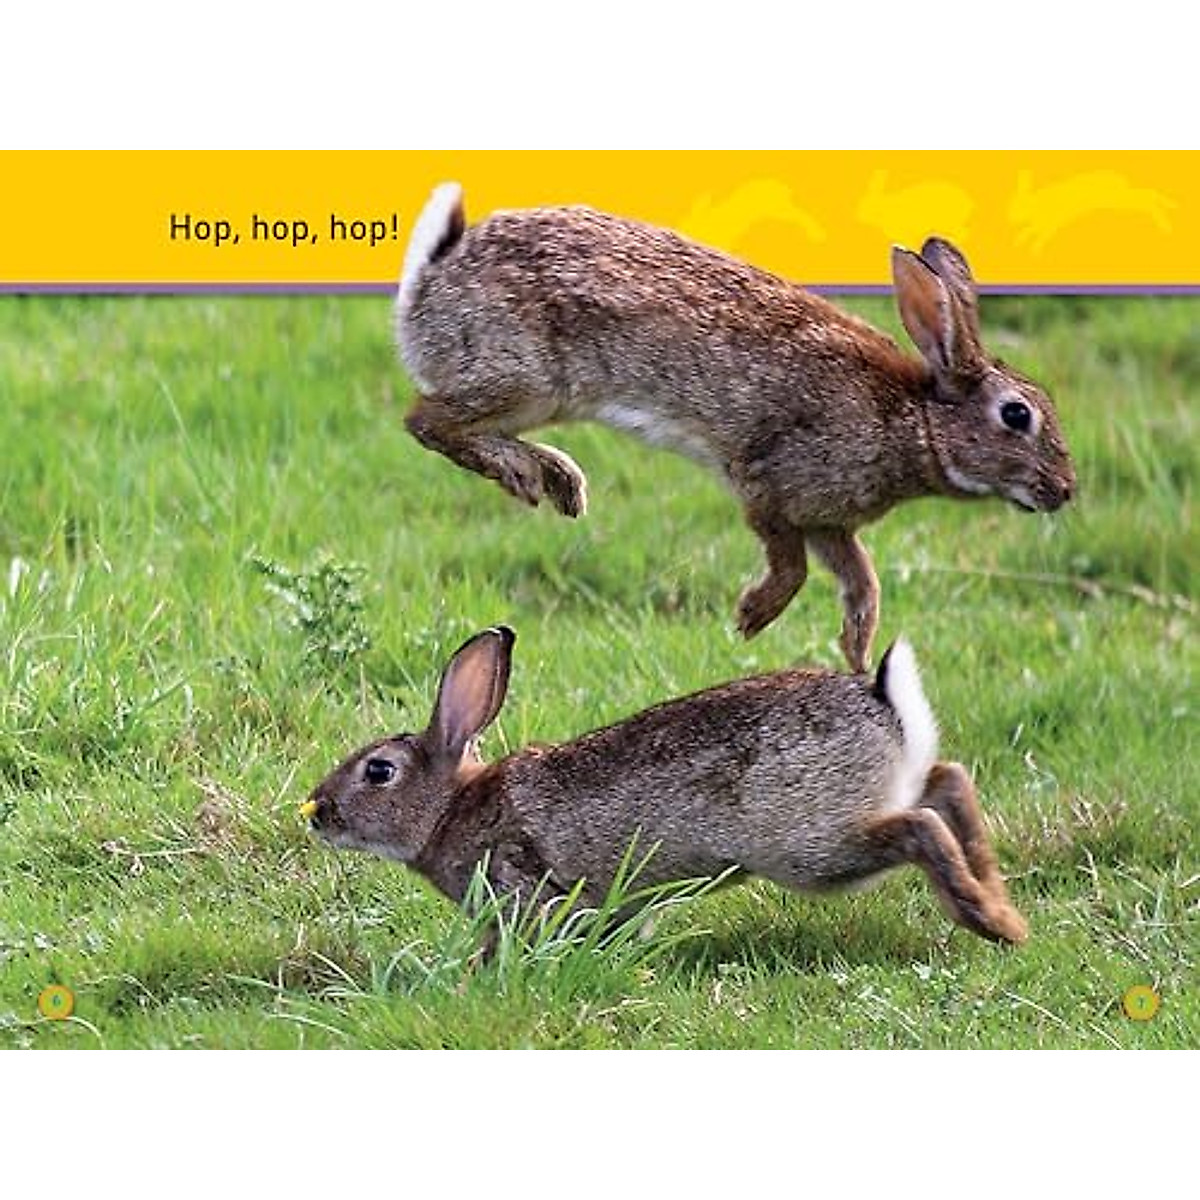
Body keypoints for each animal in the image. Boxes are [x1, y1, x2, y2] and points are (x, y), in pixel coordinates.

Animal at [302, 626, 1028, 948]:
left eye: (378, 772)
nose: (317, 811)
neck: (450, 808)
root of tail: (884, 701)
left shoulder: (520, 883)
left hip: (810, 845)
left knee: (919, 826)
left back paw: (992, 924)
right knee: (949, 782)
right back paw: (999, 899)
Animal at [395, 184, 1076, 673]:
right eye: (1017, 415)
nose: (1064, 491)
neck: (918, 421)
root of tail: (429, 282)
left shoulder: (829, 521)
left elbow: (862, 578)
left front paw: (856, 652)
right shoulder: (770, 481)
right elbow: (792, 566)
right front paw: (751, 617)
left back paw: (557, 479)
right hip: (525, 377)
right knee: (427, 421)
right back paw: (529, 473)